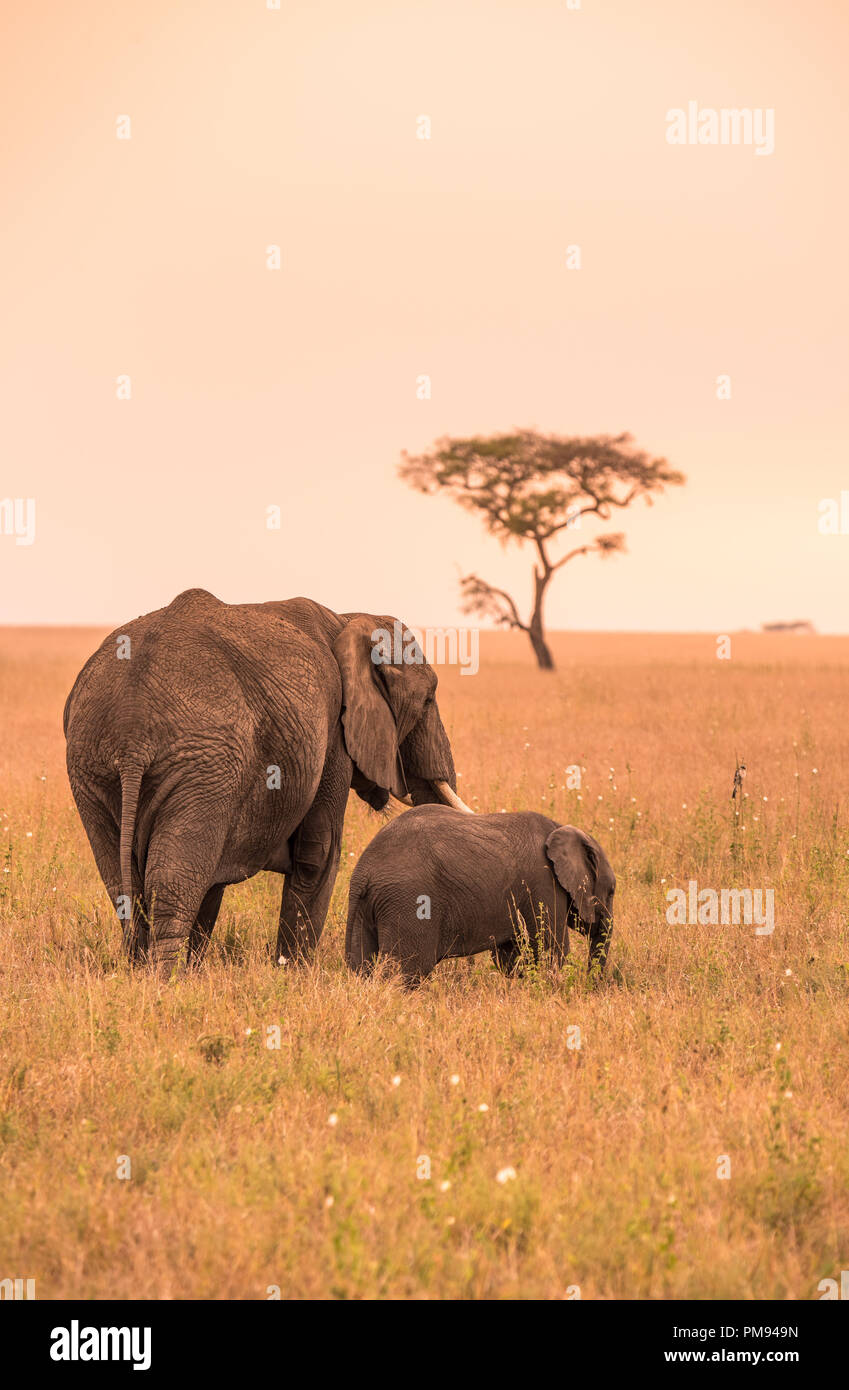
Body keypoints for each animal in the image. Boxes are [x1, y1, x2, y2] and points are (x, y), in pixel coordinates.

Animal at [63, 588, 472, 969]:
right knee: (172, 884)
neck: (349, 619)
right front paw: (294, 975)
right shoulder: (331, 737)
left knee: (126, 886)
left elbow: (213, 881)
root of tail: (132, 734)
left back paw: (141, 974)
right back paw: (165, 982)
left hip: (94, 767)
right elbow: (319, 854)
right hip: (204, 763)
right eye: (428, 700)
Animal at [345, 806, 615, 987]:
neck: (559, 827)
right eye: (611, 891)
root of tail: (364, 872)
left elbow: (510, 956)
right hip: (408, 900)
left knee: (361, 966)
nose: (591, 985)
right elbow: (551, 949)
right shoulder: (544, 884)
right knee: (405, 972)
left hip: (363, 908)